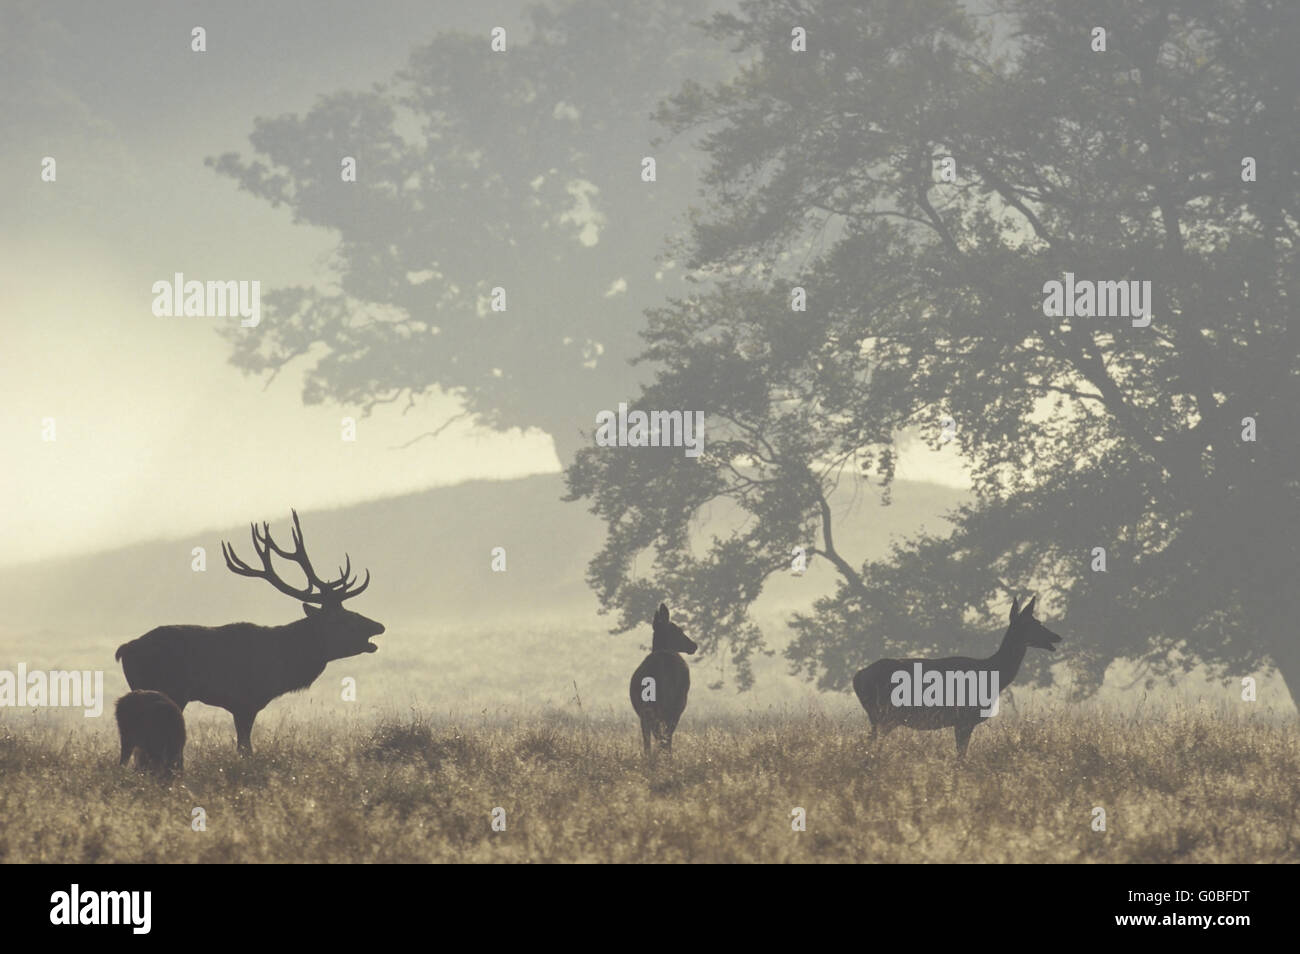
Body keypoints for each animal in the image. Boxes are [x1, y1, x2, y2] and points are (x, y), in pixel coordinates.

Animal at [115, 510, 383, 753]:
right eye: (342, 619)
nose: (379, 626)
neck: (282, 663)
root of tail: (125, 649)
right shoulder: (245, 701)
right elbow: (245, 748)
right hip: (167, 689)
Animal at [629, 603, 697, 763]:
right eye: (678, 630)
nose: (694, 645)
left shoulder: (643, 713)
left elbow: (647, 740)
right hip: (675, 704)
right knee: (666, 735)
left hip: (656, 706)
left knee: (662, 736)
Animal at [852, 596, 1061, 758]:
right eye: (1032, 623)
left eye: (1037, 622)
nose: (1057, 636)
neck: (993, 674)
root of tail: (858, 677)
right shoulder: (964, 718)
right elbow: (960, 758)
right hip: (884, 714)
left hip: (880, 717)